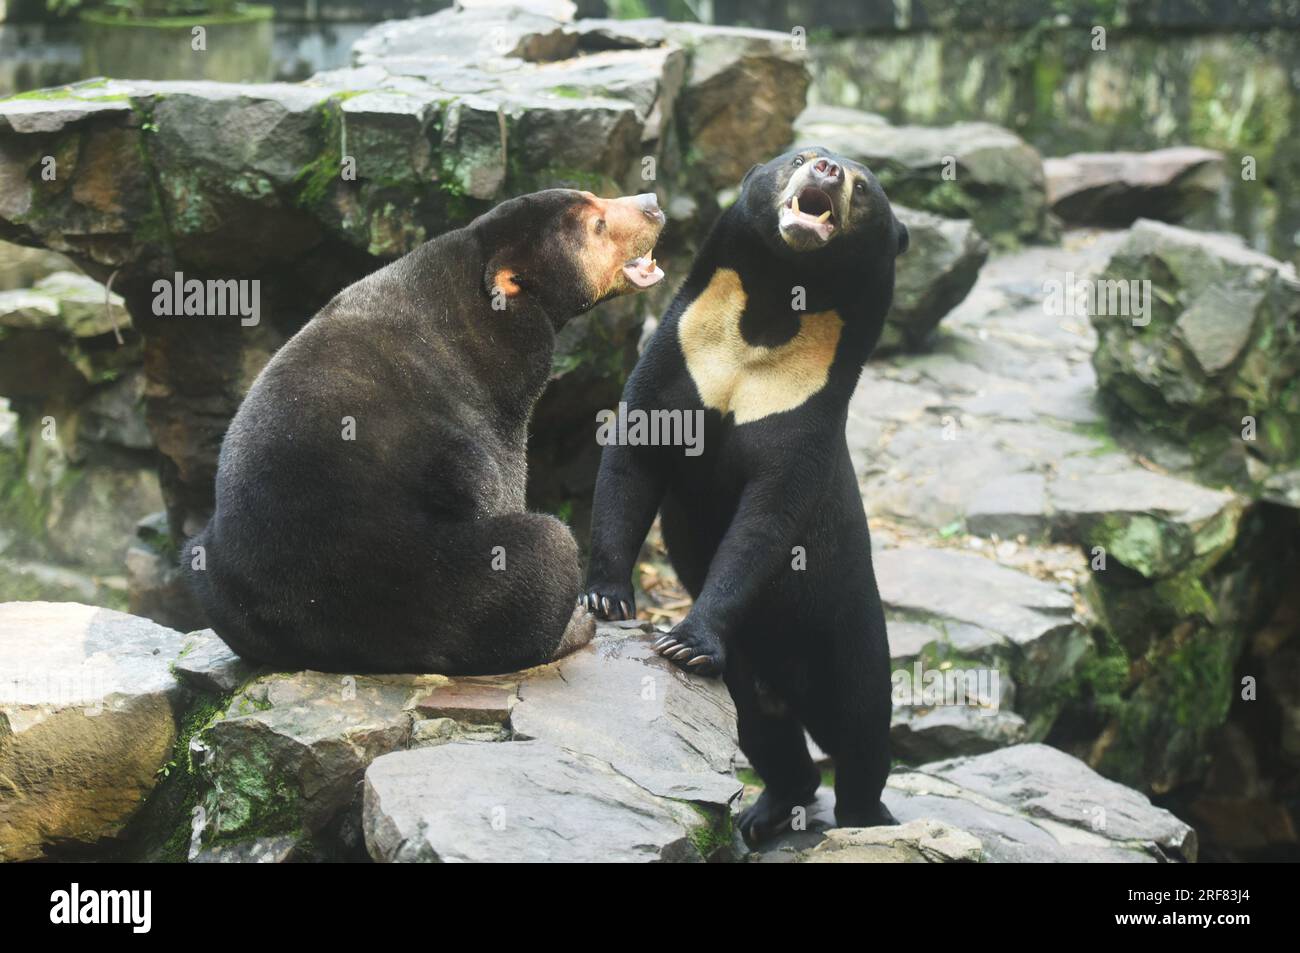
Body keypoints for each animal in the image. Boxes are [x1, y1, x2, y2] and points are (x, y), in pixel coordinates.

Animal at [185, 188, 666, 675]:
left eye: (596, 198)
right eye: (597, 226)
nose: (652, 202)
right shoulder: (498, 397)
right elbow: (497, 480)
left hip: (210, 569)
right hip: (436, 580)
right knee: (544, 550)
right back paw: (573, 627)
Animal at [580, 148, 908, 842]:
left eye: (864, 187)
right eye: (801, 157)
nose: (828, 169)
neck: (770, 315)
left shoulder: (804, 412)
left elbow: (766, 522)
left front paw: (684, 641)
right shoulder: (677, 359)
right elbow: (631, 460)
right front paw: (606, 597)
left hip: (850, 630)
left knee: (862, 728)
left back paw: (866, 818)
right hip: (754, 670)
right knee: (764, 730)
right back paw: (766, 812)